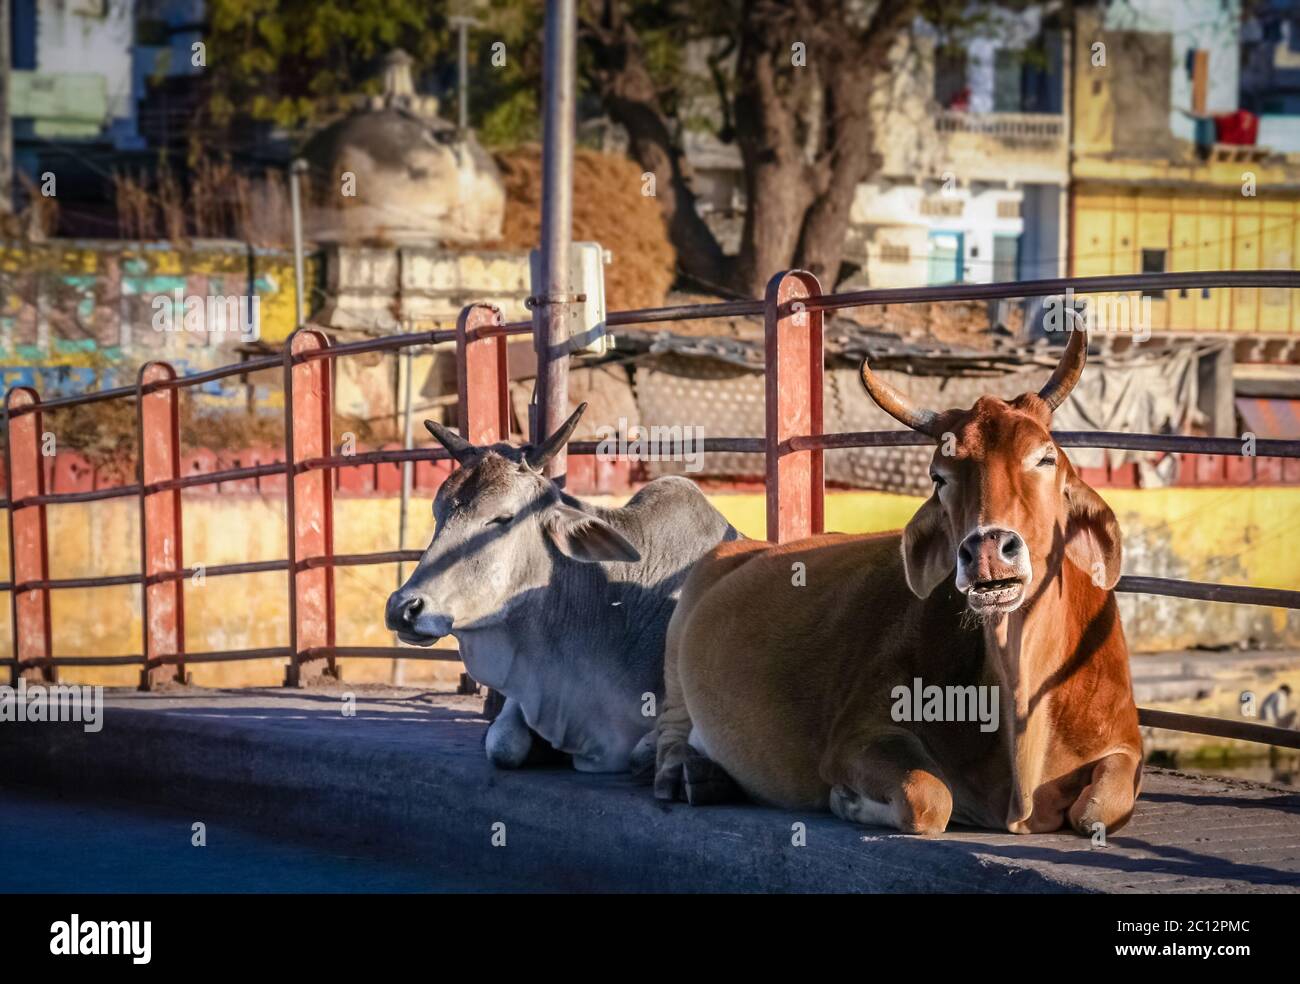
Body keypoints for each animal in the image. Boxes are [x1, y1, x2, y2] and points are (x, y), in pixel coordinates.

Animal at [654, 328, 1144, 835]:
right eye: (938, 476)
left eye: (1045, 458)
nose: (988, 549)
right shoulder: (857, 737)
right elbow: (929, 798)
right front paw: (848, 801)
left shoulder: (1125, 745)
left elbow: (1096, 810)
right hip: (680, 640)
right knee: (669, 733)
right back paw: (687, 775)